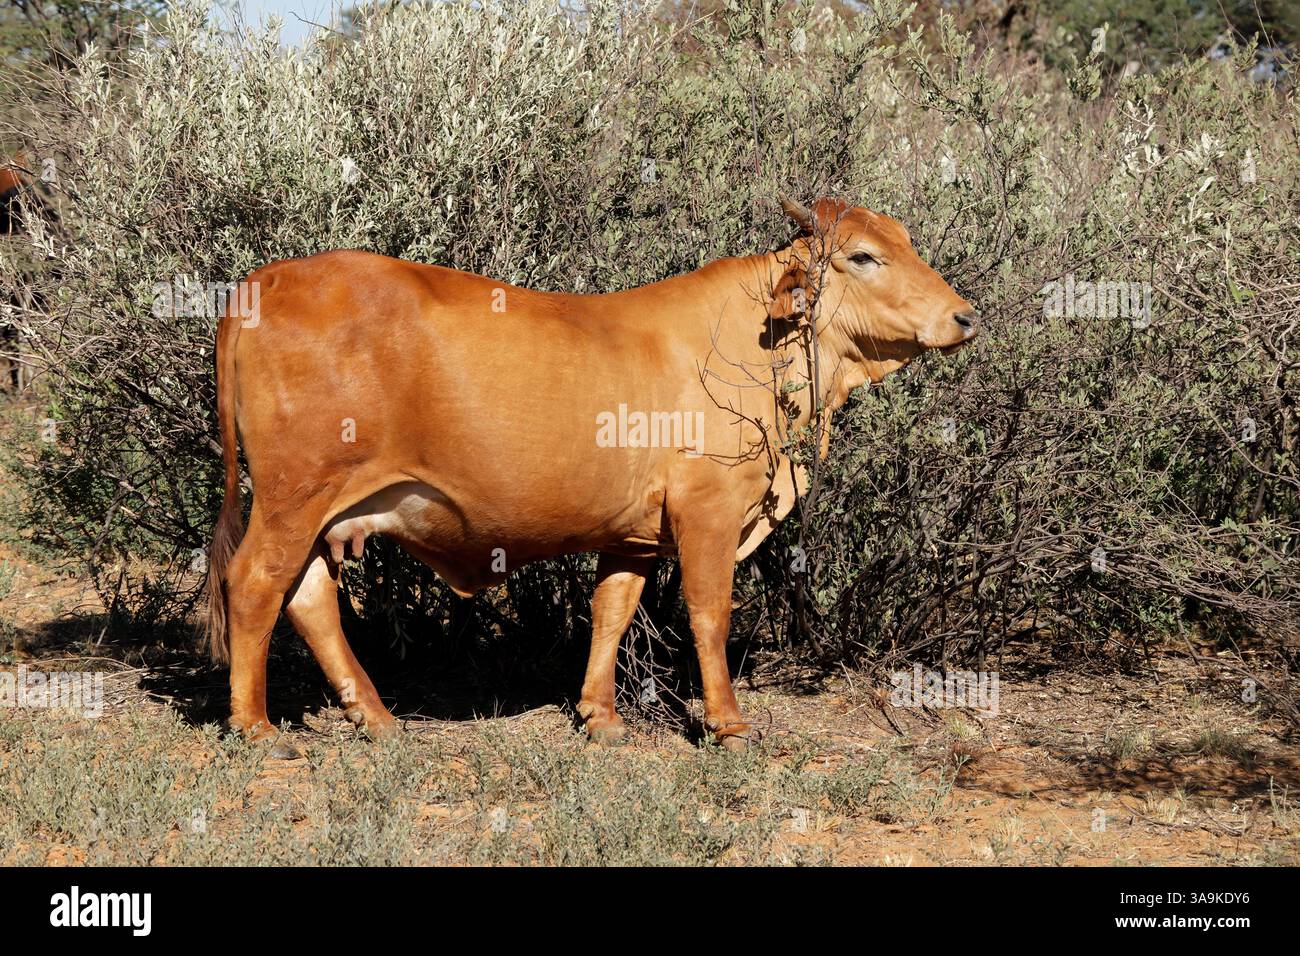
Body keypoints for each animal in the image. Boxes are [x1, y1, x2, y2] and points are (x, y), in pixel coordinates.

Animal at [205, 195, 978, 753]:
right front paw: (728, 724)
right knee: (255, 583)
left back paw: (375, 717)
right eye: (864, 256)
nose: (964, 315)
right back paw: (256, 727)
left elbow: (613, 610)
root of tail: (267, 278)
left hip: (318, 507)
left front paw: (600, 717)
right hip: (295, 494)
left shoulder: (632, 531)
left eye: (906, 241)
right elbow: (709, 613)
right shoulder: (709, 506)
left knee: (307, 597)